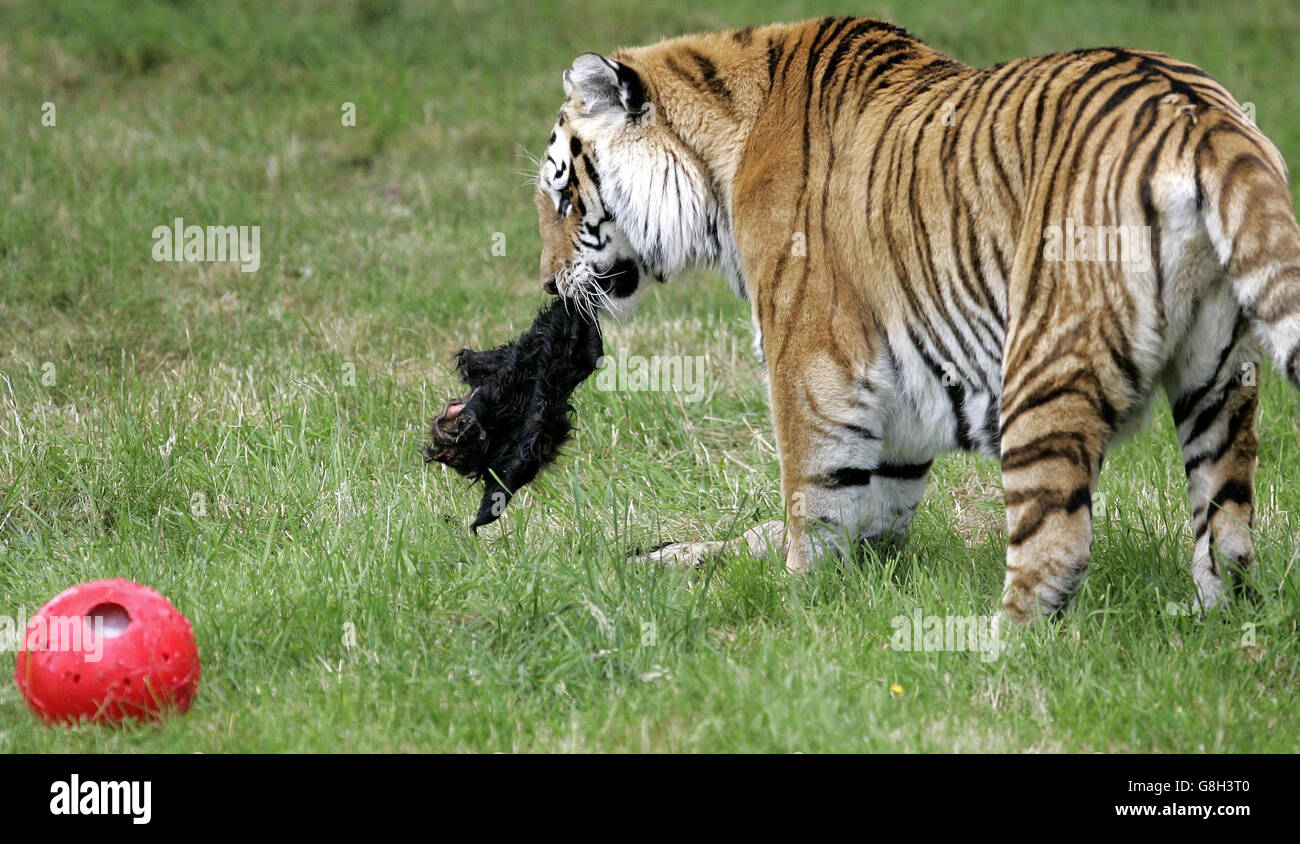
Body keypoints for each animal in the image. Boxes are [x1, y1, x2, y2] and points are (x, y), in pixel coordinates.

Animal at [531, 16, 1300, 622]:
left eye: (565, 197)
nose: (545, 283)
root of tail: (1202, 112)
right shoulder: (897, 398)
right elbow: (852, 515)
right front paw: (668, 557)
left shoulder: (810, 357)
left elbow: (810, 499)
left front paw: (794, 599)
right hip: (1219, 382)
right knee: (1227, 528)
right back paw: (1216, 626)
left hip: (1045, 366)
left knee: (1054, 545)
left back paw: (998, 648)